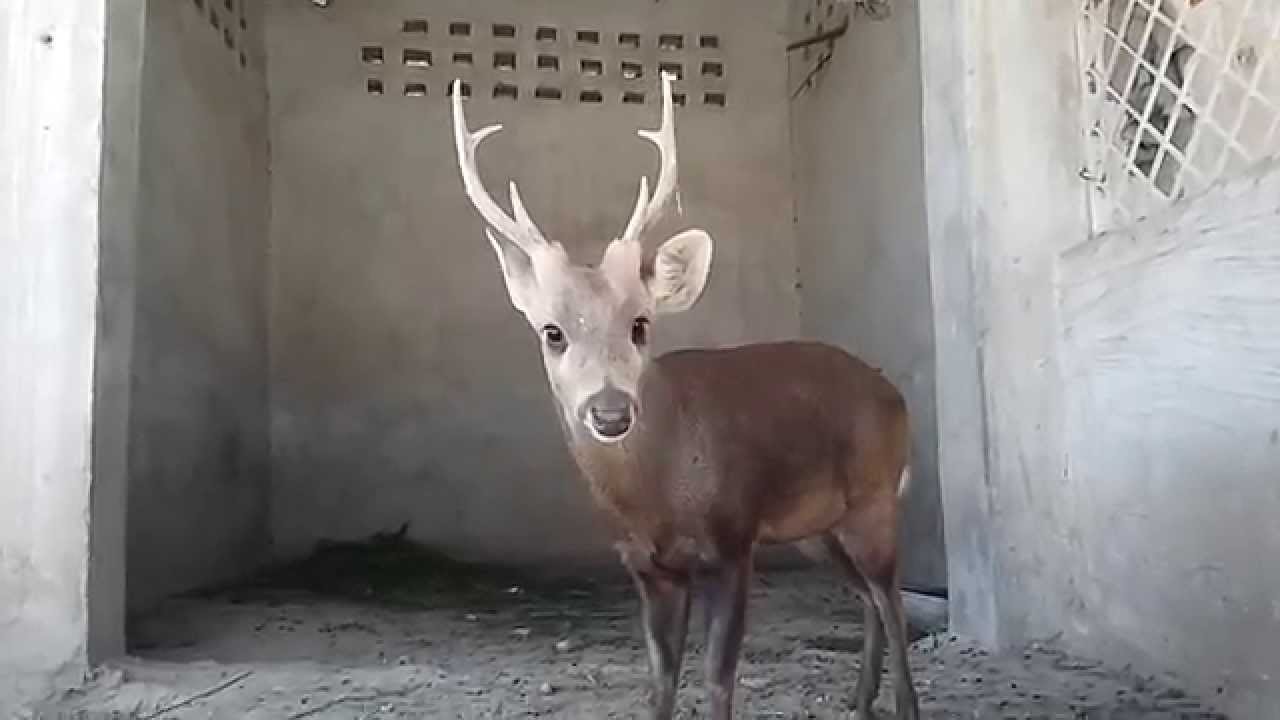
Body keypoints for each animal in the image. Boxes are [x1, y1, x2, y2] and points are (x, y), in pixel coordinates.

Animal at [448, 73, 920, 720]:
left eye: (640, 324)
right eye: (552, 332)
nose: (610, 410)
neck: (660, 496)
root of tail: (894, 393)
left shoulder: (732, 541)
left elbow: (718, 681)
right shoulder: (646, 566)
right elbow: (660, 683)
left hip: (874, 498)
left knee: (892, 596)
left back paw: (904, 703)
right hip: (816, 529)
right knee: (870, 597)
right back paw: (860, 698)